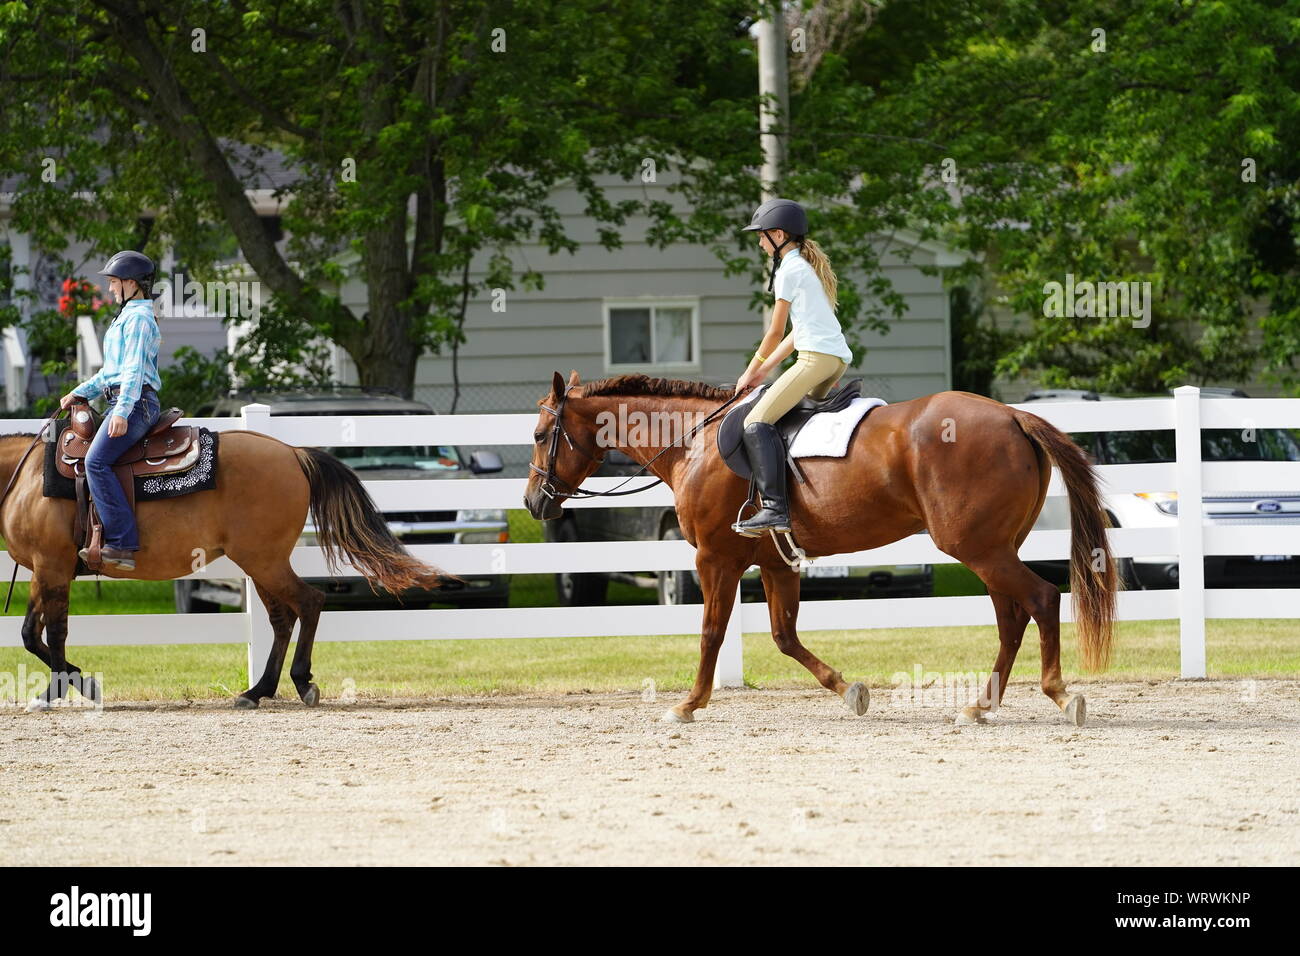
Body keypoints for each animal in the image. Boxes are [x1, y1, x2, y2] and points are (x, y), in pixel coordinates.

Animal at [0, 424, 452, 710]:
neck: (27, 480)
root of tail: (293, 454)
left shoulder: (53, 567)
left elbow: (55, 632)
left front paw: (64, 690)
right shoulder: (42, 570)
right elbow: (30, 633)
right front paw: (76, 681)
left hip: (263, 560)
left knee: (309, 602)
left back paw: (299, 682)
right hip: (261, 562)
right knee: (283, 617)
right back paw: (258, 690)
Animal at [524, 370, 1116, 726]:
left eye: (539, 434)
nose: (534, 502)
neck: (694, 442)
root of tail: (1013, 415)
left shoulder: (715, 559)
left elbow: (712, 632)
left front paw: (689, 704)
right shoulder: (772, 562)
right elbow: (785, 636)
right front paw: (847, 689)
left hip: (979, 548)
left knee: (1041, 599)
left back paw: (1060, 694)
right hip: (993, 548)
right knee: (1011, 618)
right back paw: (978, 706)